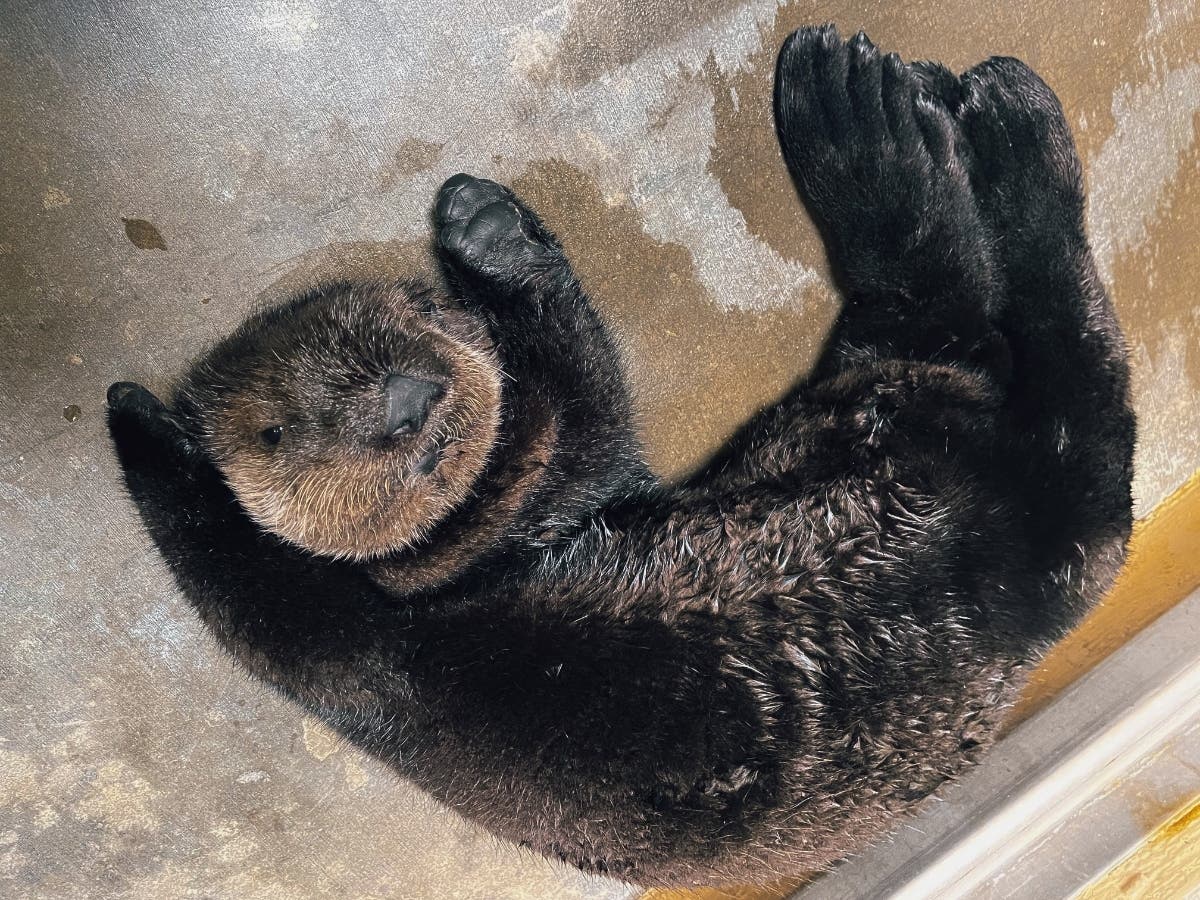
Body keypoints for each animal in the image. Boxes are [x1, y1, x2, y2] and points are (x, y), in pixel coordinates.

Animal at [106, 27, 1134, 886]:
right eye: (279, 430)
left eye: (413, 313)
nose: (407, 400)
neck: (460, 541)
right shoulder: (373, 611)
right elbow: (248, 585)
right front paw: (144, 422)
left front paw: (485, 231)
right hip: (915, 424)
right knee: (990, 329)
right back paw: (925, 115)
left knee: (1005, 337)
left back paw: (950, 113)